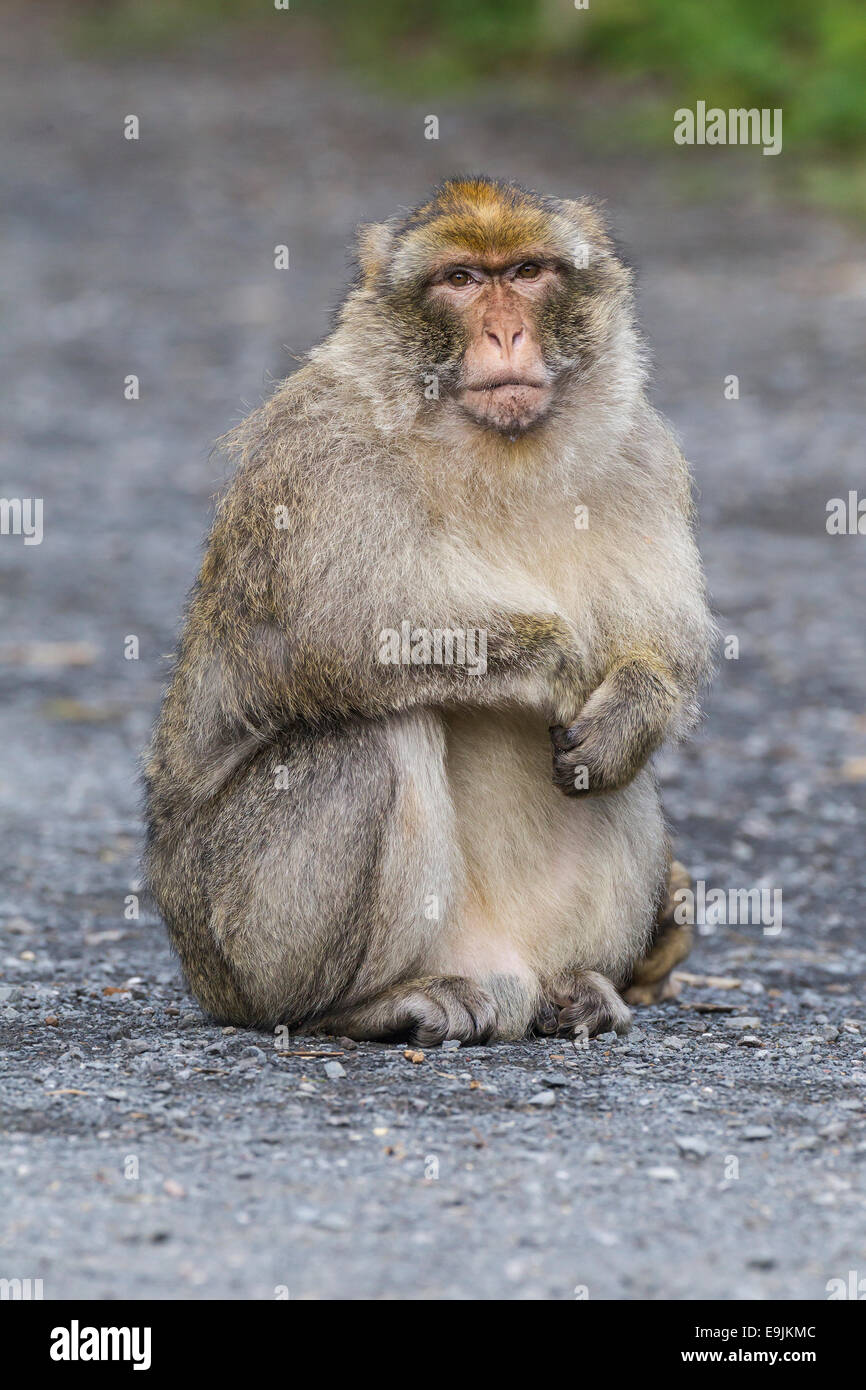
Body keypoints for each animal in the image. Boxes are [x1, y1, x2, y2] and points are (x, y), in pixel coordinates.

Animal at [144, 176, 715, 1045]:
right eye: (461, 280)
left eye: (527, 272)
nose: (507, 333)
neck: (493, 453)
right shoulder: (319, 454)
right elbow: (345, 633)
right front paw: (560, 662)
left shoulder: (642, 454)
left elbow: (666, 646)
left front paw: (637, 700)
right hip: (240, 945)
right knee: (370, 739)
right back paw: (361, 1007)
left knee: (620, 780)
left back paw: (577, 988)